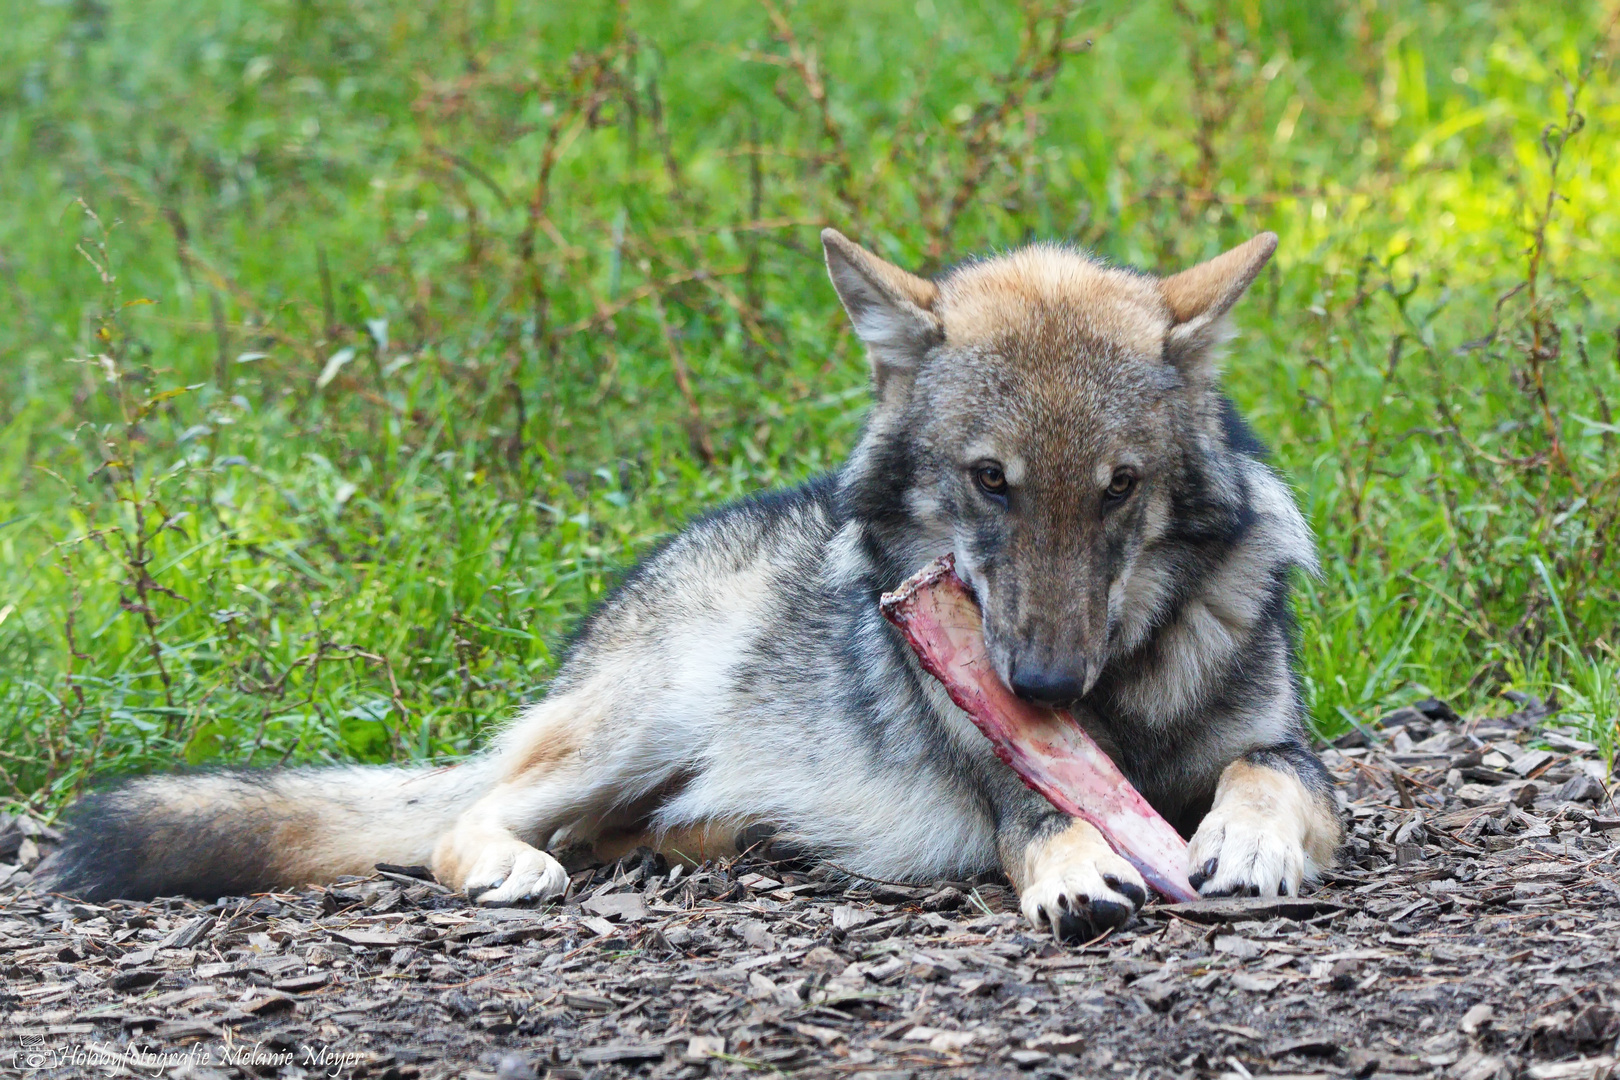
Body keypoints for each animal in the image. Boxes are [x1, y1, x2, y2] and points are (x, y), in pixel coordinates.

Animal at [50, 229, 1341, 945]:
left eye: (1120, 489)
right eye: (992, 482)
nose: (1040, 686)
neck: (1121, 687)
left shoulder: (1287, 746)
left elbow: (1269, 776)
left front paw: (1249, 843)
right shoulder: (1002, 783)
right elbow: (1054, 815)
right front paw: (1080, 871)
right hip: (631, 727)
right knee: (460, 824)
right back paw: (522, 864)